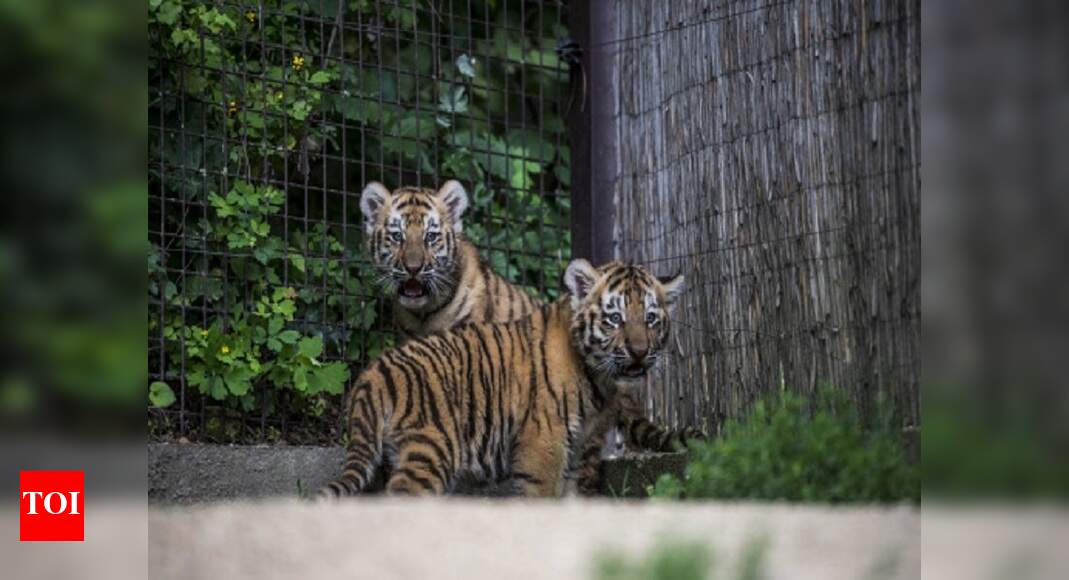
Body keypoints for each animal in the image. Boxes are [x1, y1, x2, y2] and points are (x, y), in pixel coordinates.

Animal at [319, 260, 686, 497]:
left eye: (651, 319)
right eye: (615, 318)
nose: (639, 352)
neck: (598, 376)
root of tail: (371, 374)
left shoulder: (577, 449)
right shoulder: (543, 444)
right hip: (430, 448)